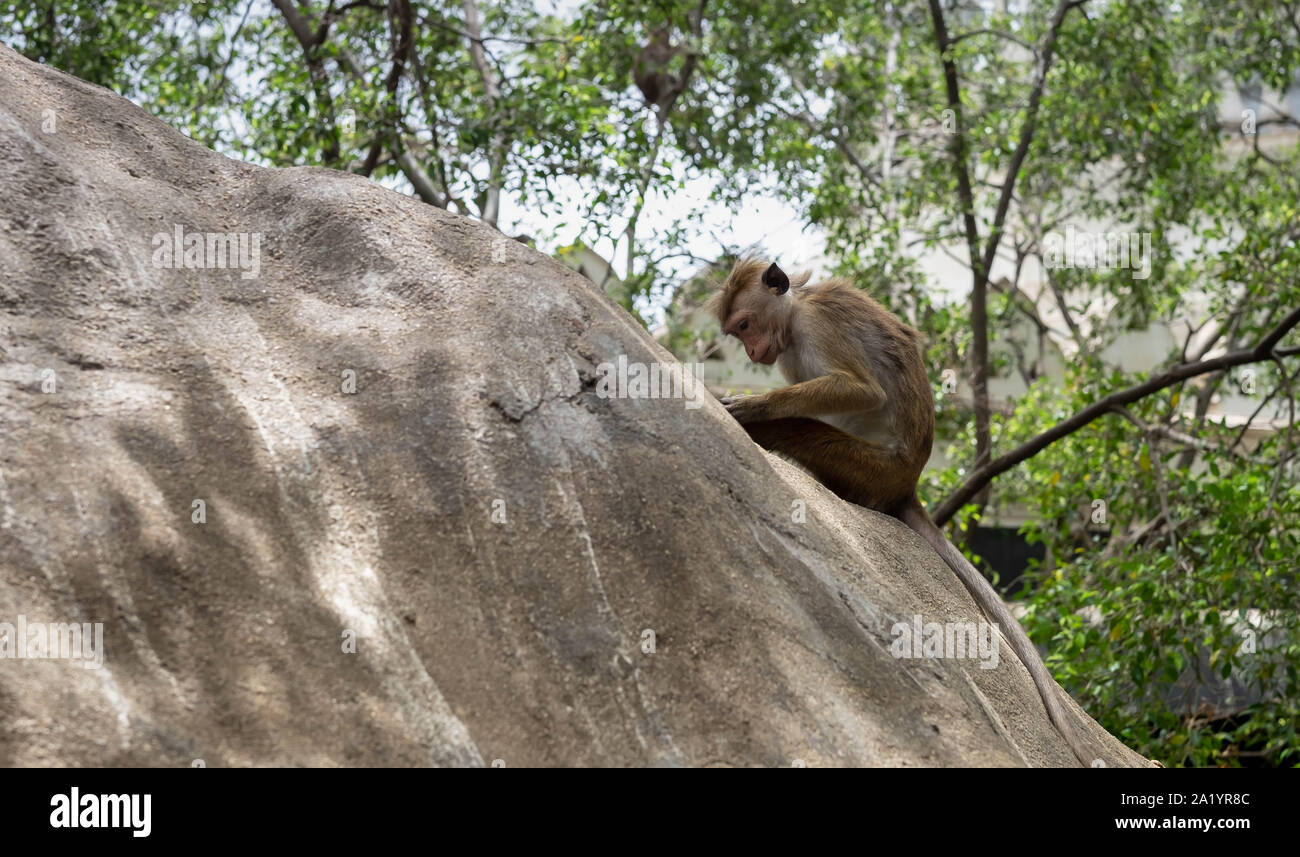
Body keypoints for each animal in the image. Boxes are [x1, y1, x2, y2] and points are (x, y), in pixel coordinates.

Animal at [709, 258, 1108, 767]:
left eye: (743, 326)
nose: (753, 350)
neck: (795, 310)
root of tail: (908, 483)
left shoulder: (818, 325)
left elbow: (862, 392)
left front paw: (752, 405)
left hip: (873, 468)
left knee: (807, 428)